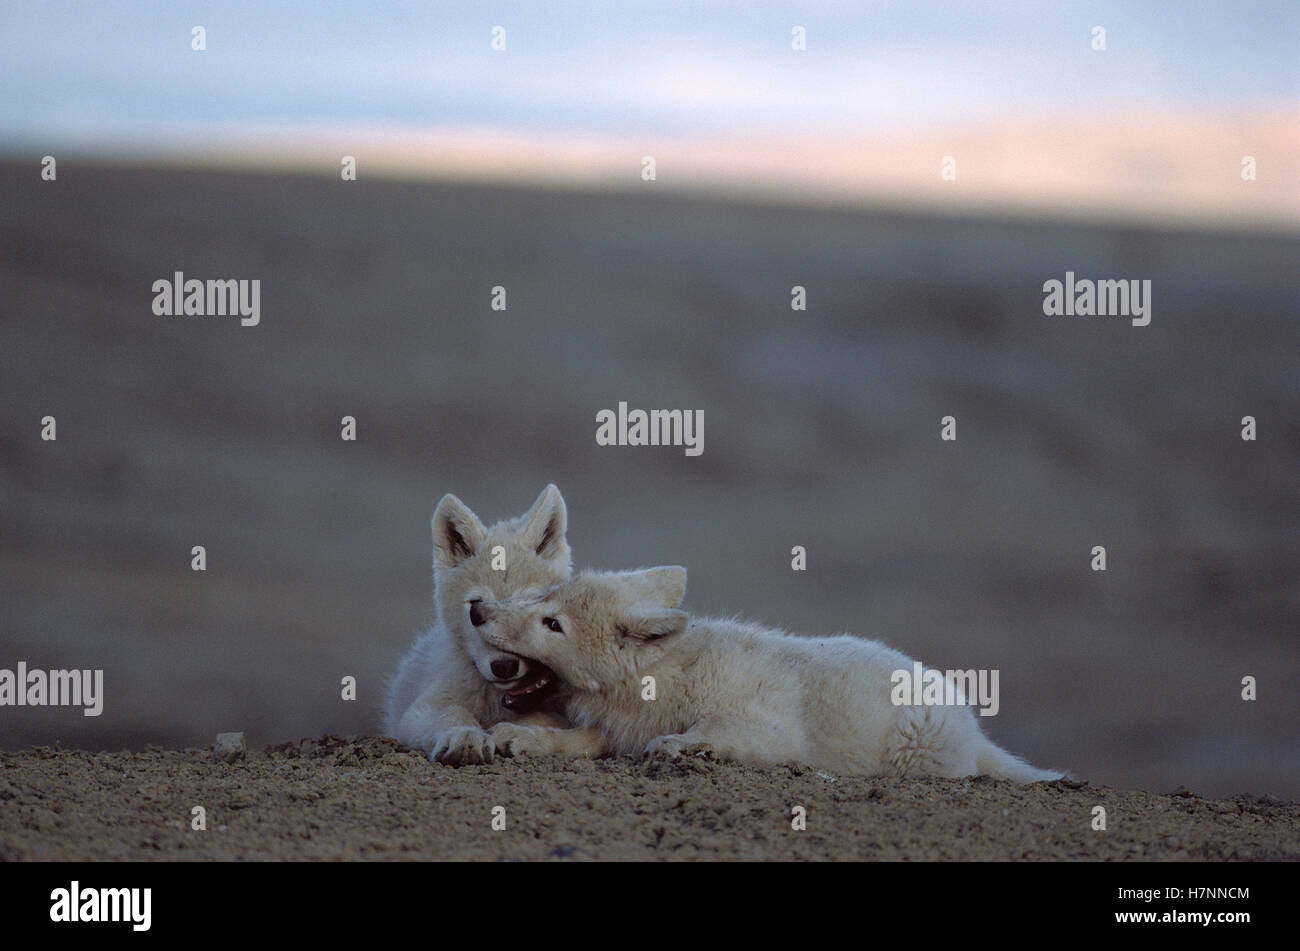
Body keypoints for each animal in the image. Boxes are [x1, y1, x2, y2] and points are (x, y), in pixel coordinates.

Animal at [477, 567, 1062, 782]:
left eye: (553, 624)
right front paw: (521, 738)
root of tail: (974, 728)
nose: (479, 611)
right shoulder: (619, 727)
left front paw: (683, 747)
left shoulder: (772, 731)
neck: (661, 678)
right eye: (547, 597)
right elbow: (583, 738)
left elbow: (713, 729)